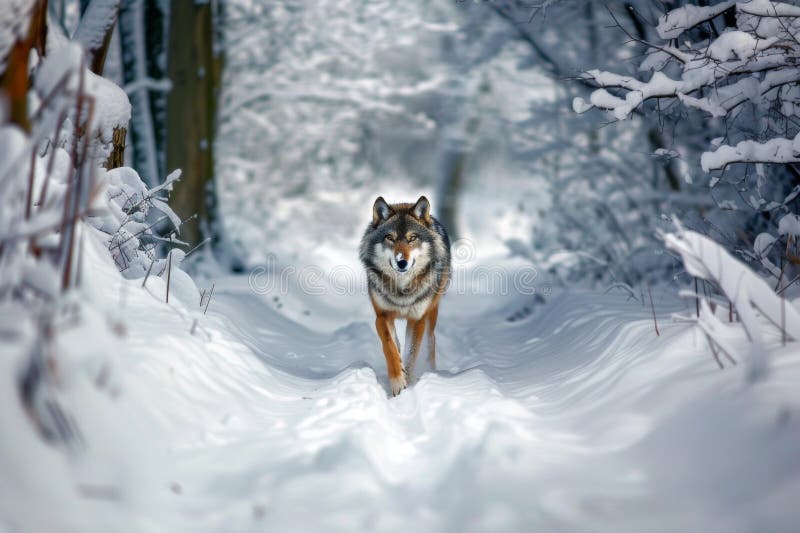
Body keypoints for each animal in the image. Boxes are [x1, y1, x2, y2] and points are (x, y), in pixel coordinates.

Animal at [359, 195, 451, 396]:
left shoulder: (417, 319)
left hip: (431, 315)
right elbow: (390, 347)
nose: (401, 262)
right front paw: (397, 381)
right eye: (390, 238)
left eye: (412, 238)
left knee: (430, 343)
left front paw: (408, 381)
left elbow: (412, 353)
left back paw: (430, 371)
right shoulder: (382, 316)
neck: (402, 290)